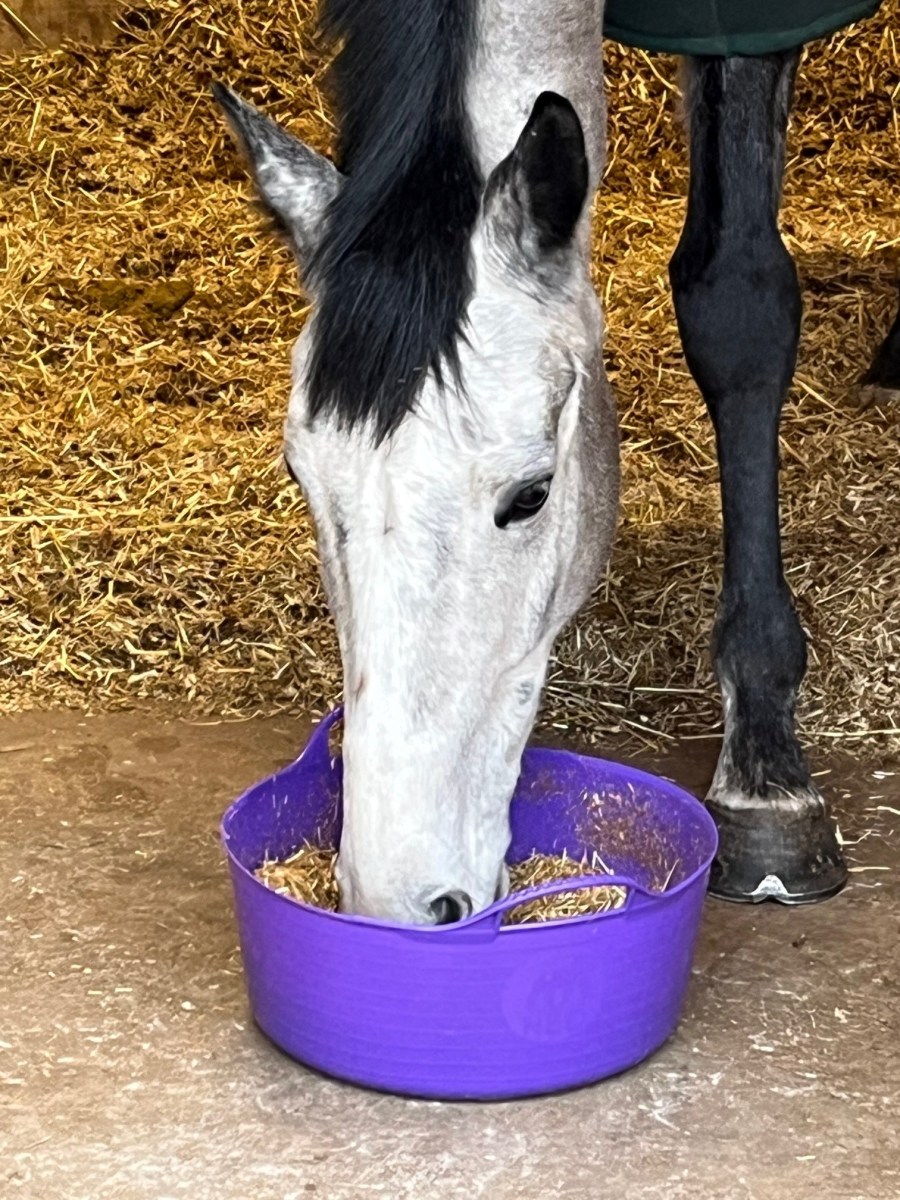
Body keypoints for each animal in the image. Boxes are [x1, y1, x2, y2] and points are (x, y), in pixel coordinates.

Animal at [213, 0, 890, 923]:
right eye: (301, 483)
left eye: (532, 494)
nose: (397, 902)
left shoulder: (747, 28)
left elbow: (736, 300)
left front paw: (766, 773)